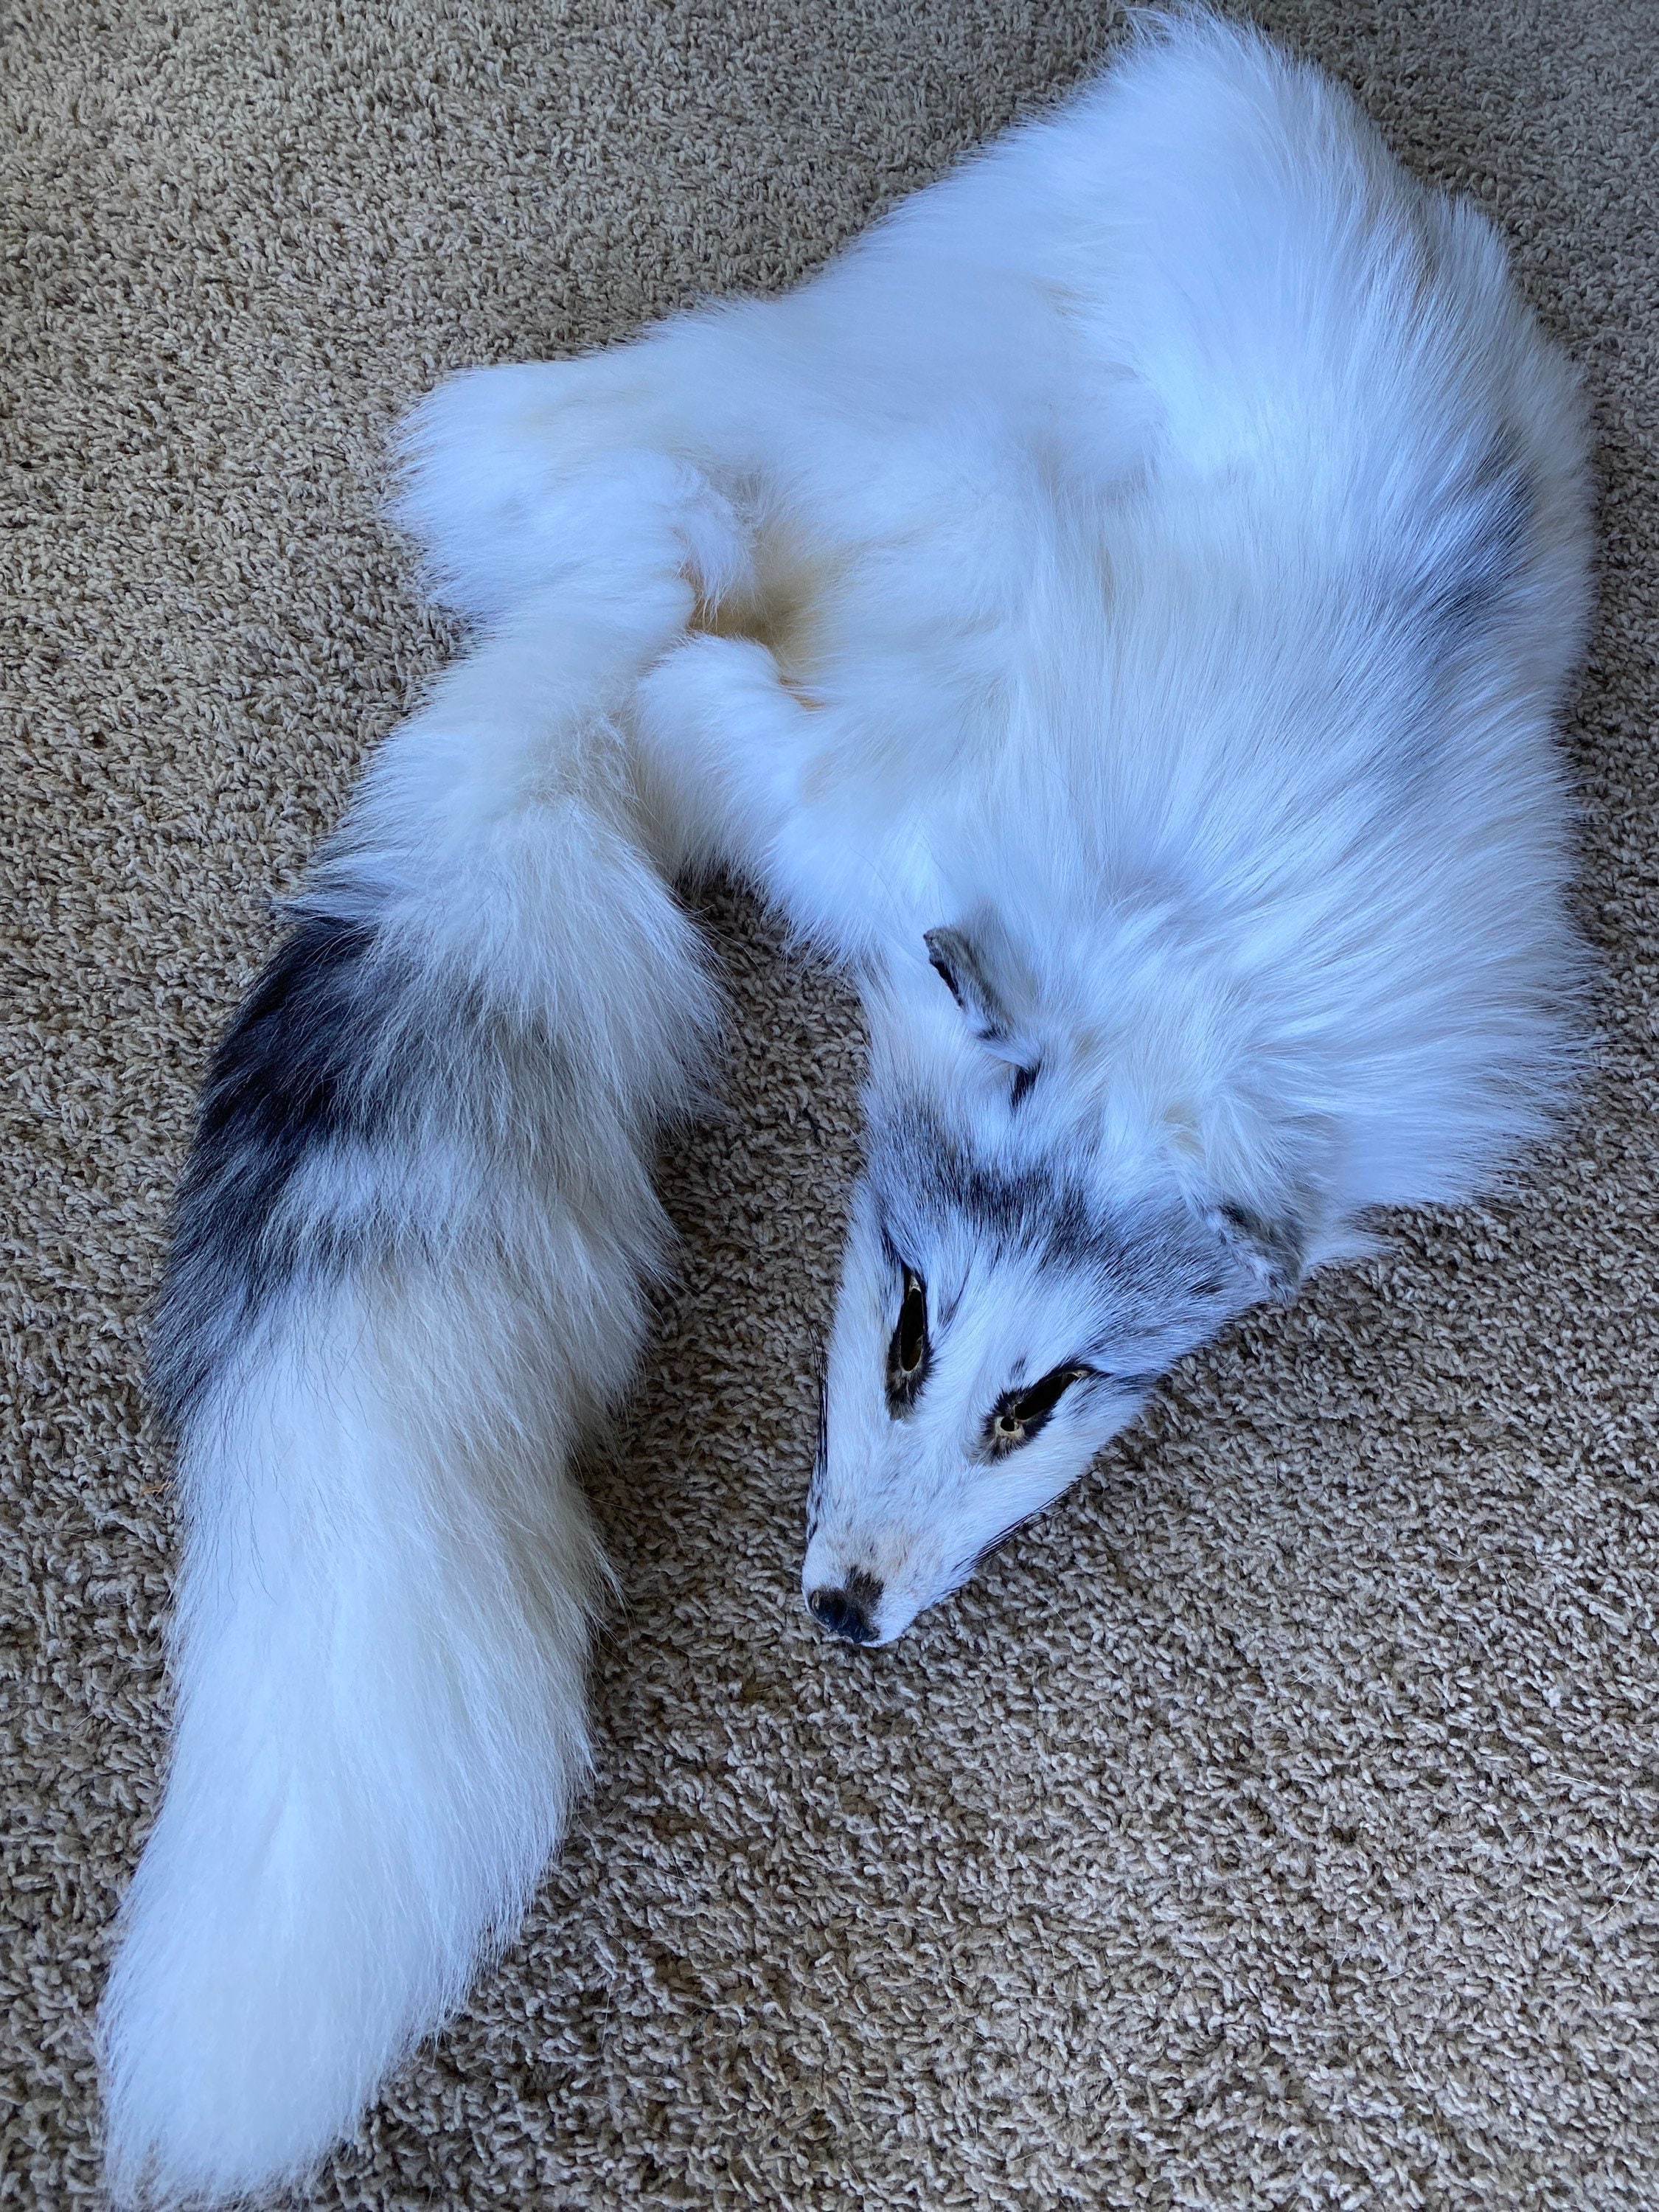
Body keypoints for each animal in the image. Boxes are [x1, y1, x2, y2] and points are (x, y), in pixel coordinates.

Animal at [98, 12, 1593, 2205]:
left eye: (1037, 1407)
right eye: (897, 1332)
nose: (843, 1616)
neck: (1174, 967)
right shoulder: (879, 803)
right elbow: (708, 687)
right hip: (840, 401)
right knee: (534, 478)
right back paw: (646, 523)